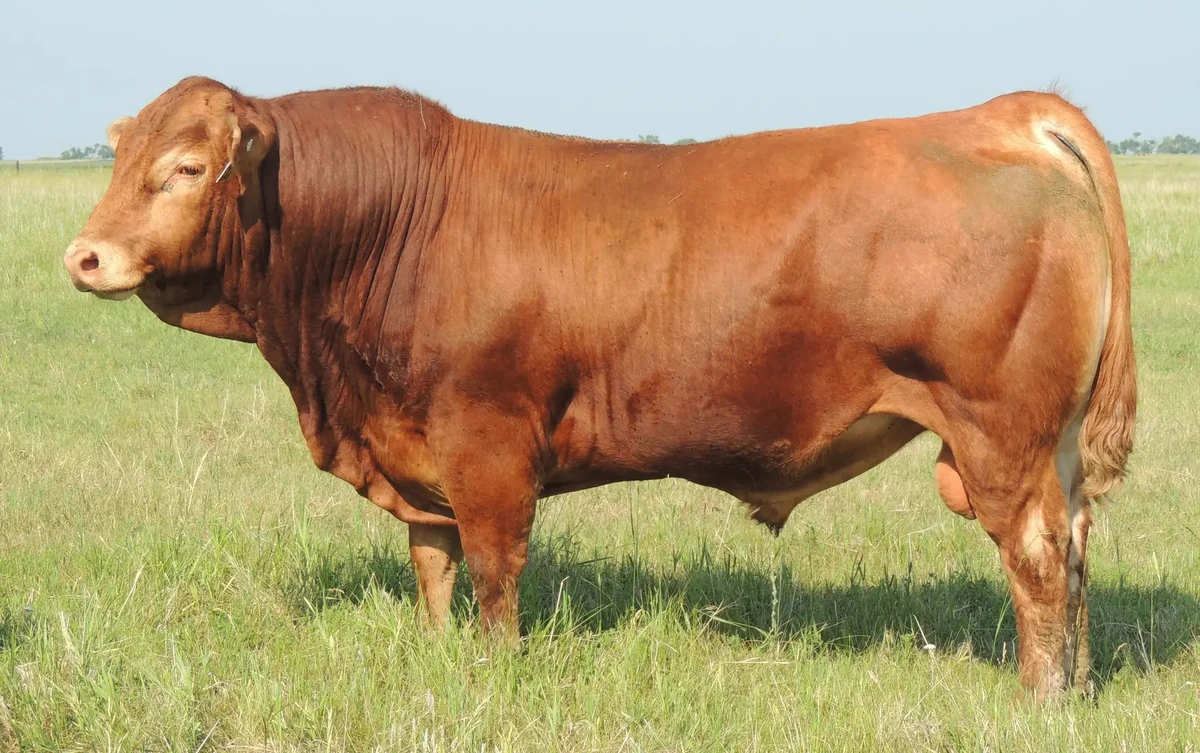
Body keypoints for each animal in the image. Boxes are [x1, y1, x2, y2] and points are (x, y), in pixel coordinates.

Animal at [63, 77, 1135, 699]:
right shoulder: (414, 449)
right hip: (1053, 448)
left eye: (186, 167)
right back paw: (1078, 691)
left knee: (1037, 560)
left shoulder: (487, 440)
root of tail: (1002, 113)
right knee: (1077, 553)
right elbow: (432, 565)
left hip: (1002, 438)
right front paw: (439, 657)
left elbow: (495, 571)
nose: (85, 256)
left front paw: (493, 675)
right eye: (118, 156)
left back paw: (1039, 699)